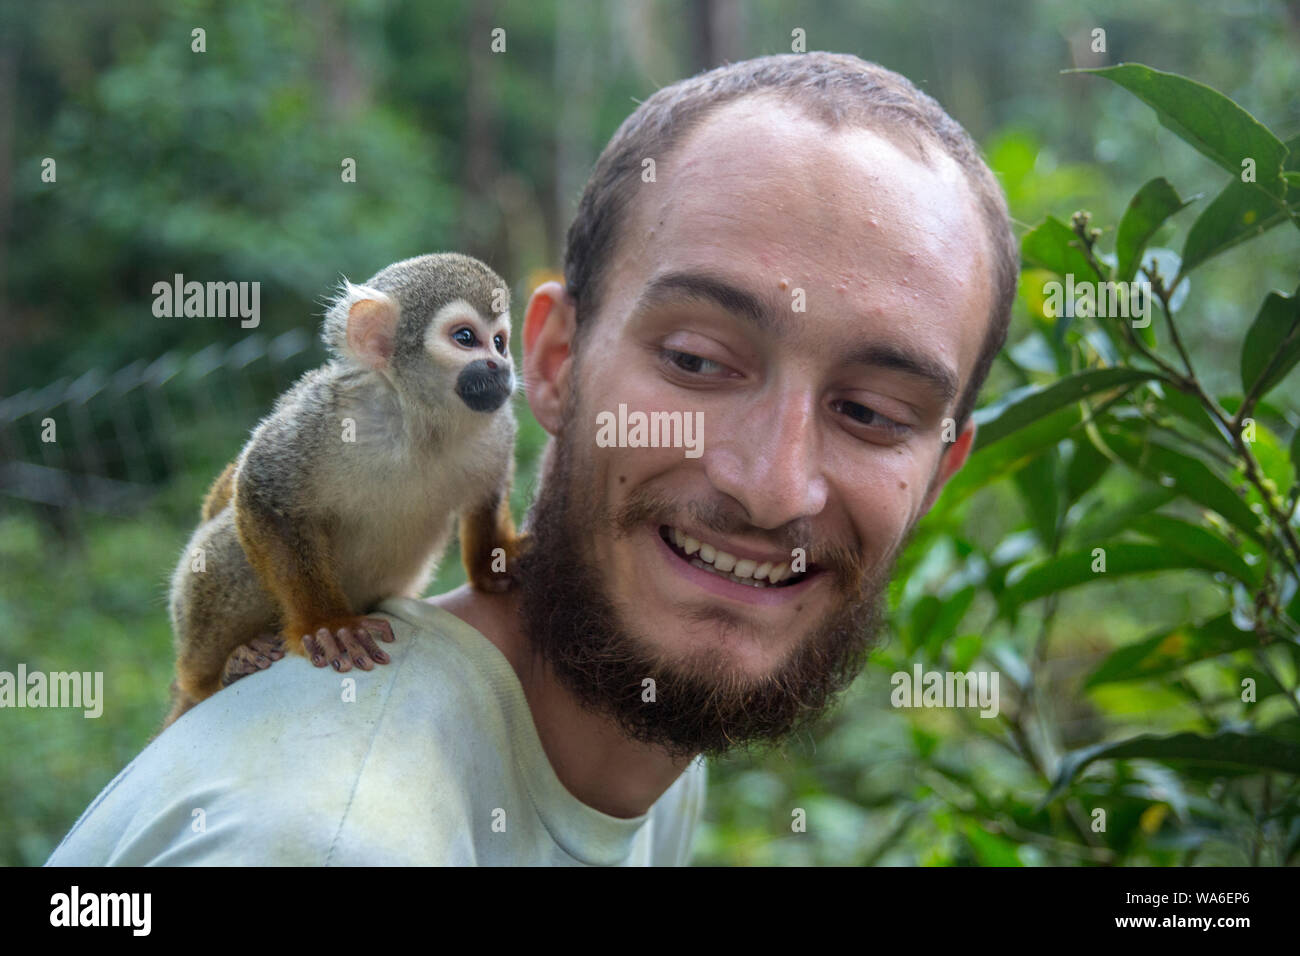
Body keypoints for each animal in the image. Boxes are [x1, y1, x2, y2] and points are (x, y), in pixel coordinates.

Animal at [162, 253, 525, 730]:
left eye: (500, 342)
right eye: (466, 338)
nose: (503, 367)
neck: (419, 423)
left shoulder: (496, 429)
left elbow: (488, 493)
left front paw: (496, 564)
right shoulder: (332, 417)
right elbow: (262, 490)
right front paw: (328, 624)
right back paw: (216, 672)